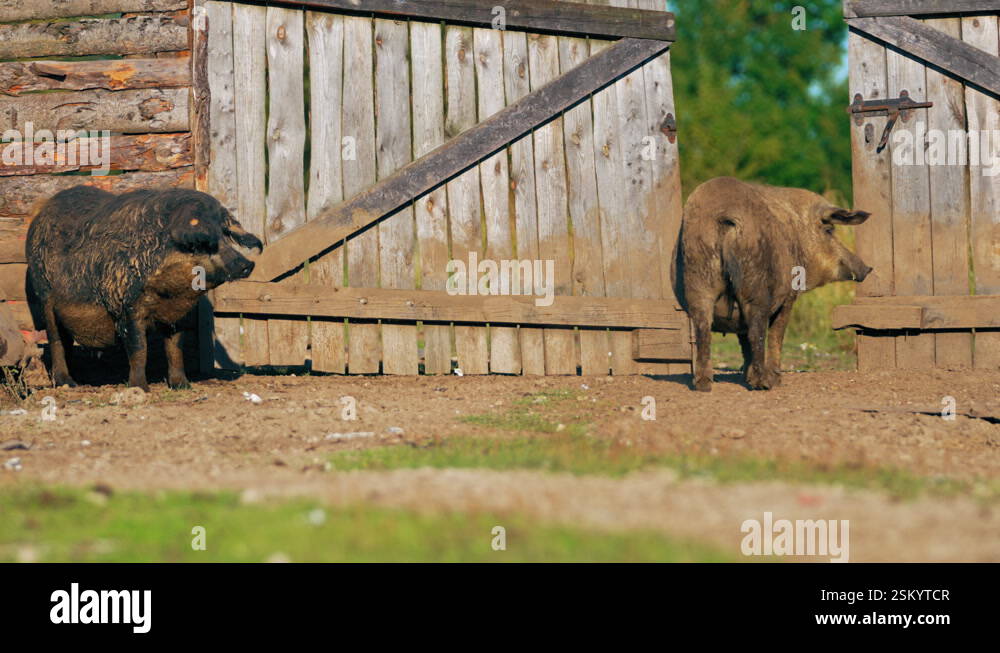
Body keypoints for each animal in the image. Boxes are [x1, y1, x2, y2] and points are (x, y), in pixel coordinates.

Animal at [26, 186, 263, 390]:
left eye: (225, 234)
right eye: (203, 243)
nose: (247, 264)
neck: (170, 295)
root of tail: (39, 215)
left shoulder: (179, 315)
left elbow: (175, 348)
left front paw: (182, 386)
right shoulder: (126, 306)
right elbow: (139, 349)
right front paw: (140, 388)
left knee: (66, 343)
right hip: (44, 296)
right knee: (55, 340)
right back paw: (67, 383)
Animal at [675, 177, 872, 392]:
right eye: (829, 230)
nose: (867, 269)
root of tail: (725, 215)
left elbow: (743, 340)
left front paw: (746, 378)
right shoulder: (790, 295)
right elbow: (777, 334)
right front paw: (776, 381)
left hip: (698, 276)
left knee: (703, 330)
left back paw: (704, 384)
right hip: (756, 285)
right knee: (757, 332)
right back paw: (764, 383)